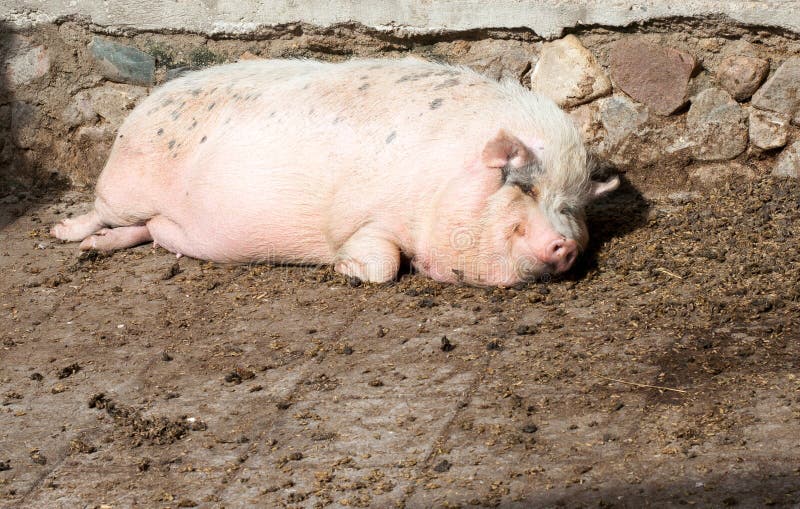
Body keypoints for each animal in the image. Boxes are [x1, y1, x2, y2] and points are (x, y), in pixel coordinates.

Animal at [52, 58, 619, 286]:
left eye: (572, 205)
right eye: (524, 188)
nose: (566, 244)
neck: (440, 180)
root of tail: (143, 107)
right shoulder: (363, 217)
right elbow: (383, 264)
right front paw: (344, 269)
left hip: (148, 215)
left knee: (142, 232)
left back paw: (93, 248)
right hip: (123, 186)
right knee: (100, 213)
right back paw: (65, 235)